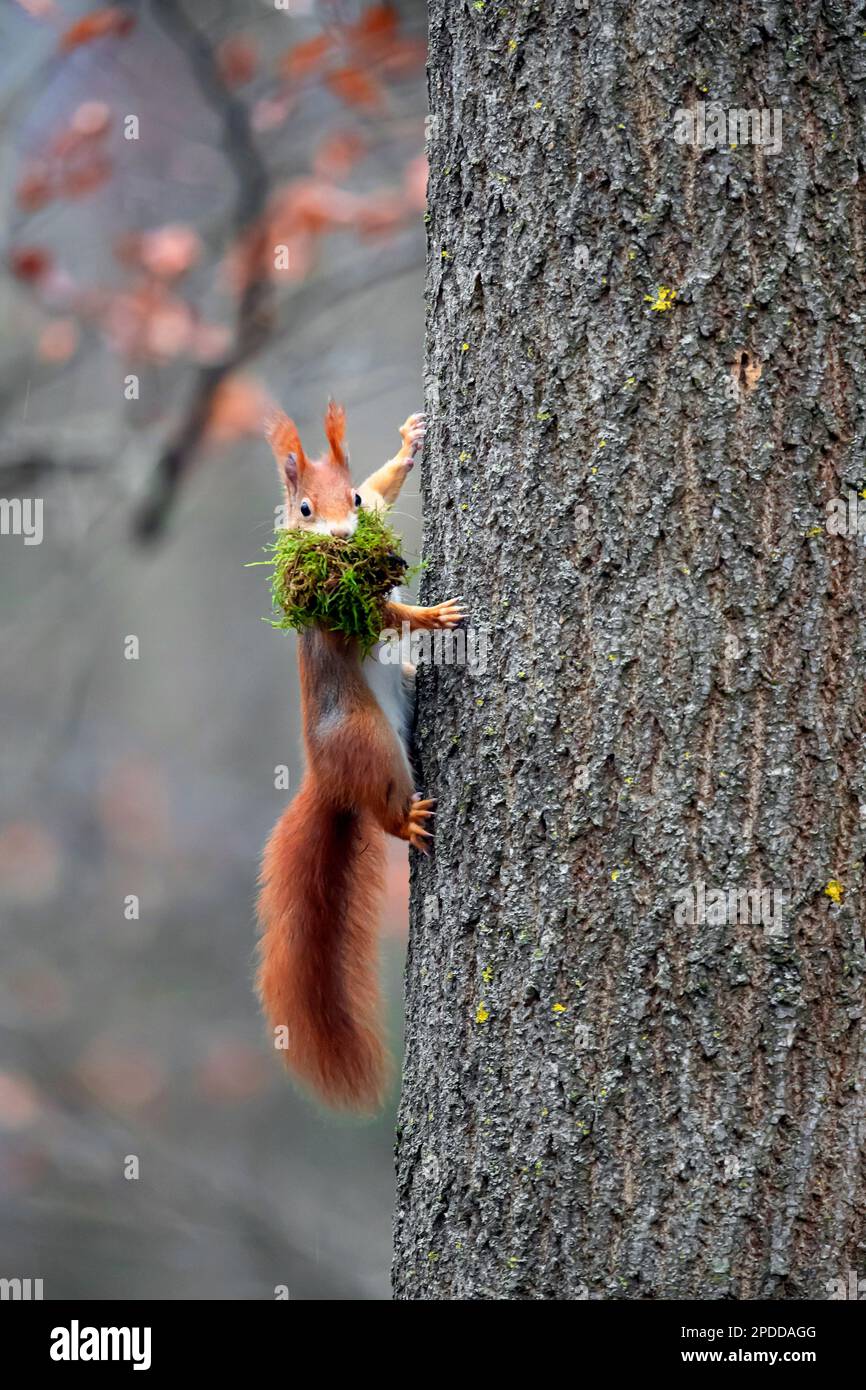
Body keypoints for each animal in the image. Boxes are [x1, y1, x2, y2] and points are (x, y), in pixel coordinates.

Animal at [256, 402, 464, 1110]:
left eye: (348, 499)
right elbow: (386, 616)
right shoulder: (341, 613)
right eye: (303, 511)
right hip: (367, 743)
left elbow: (383, 488)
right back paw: (408, 822)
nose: (345, 537)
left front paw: (408, 444)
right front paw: (431, 615)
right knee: (383, 810)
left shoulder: (371, 504)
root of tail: (327, 782)